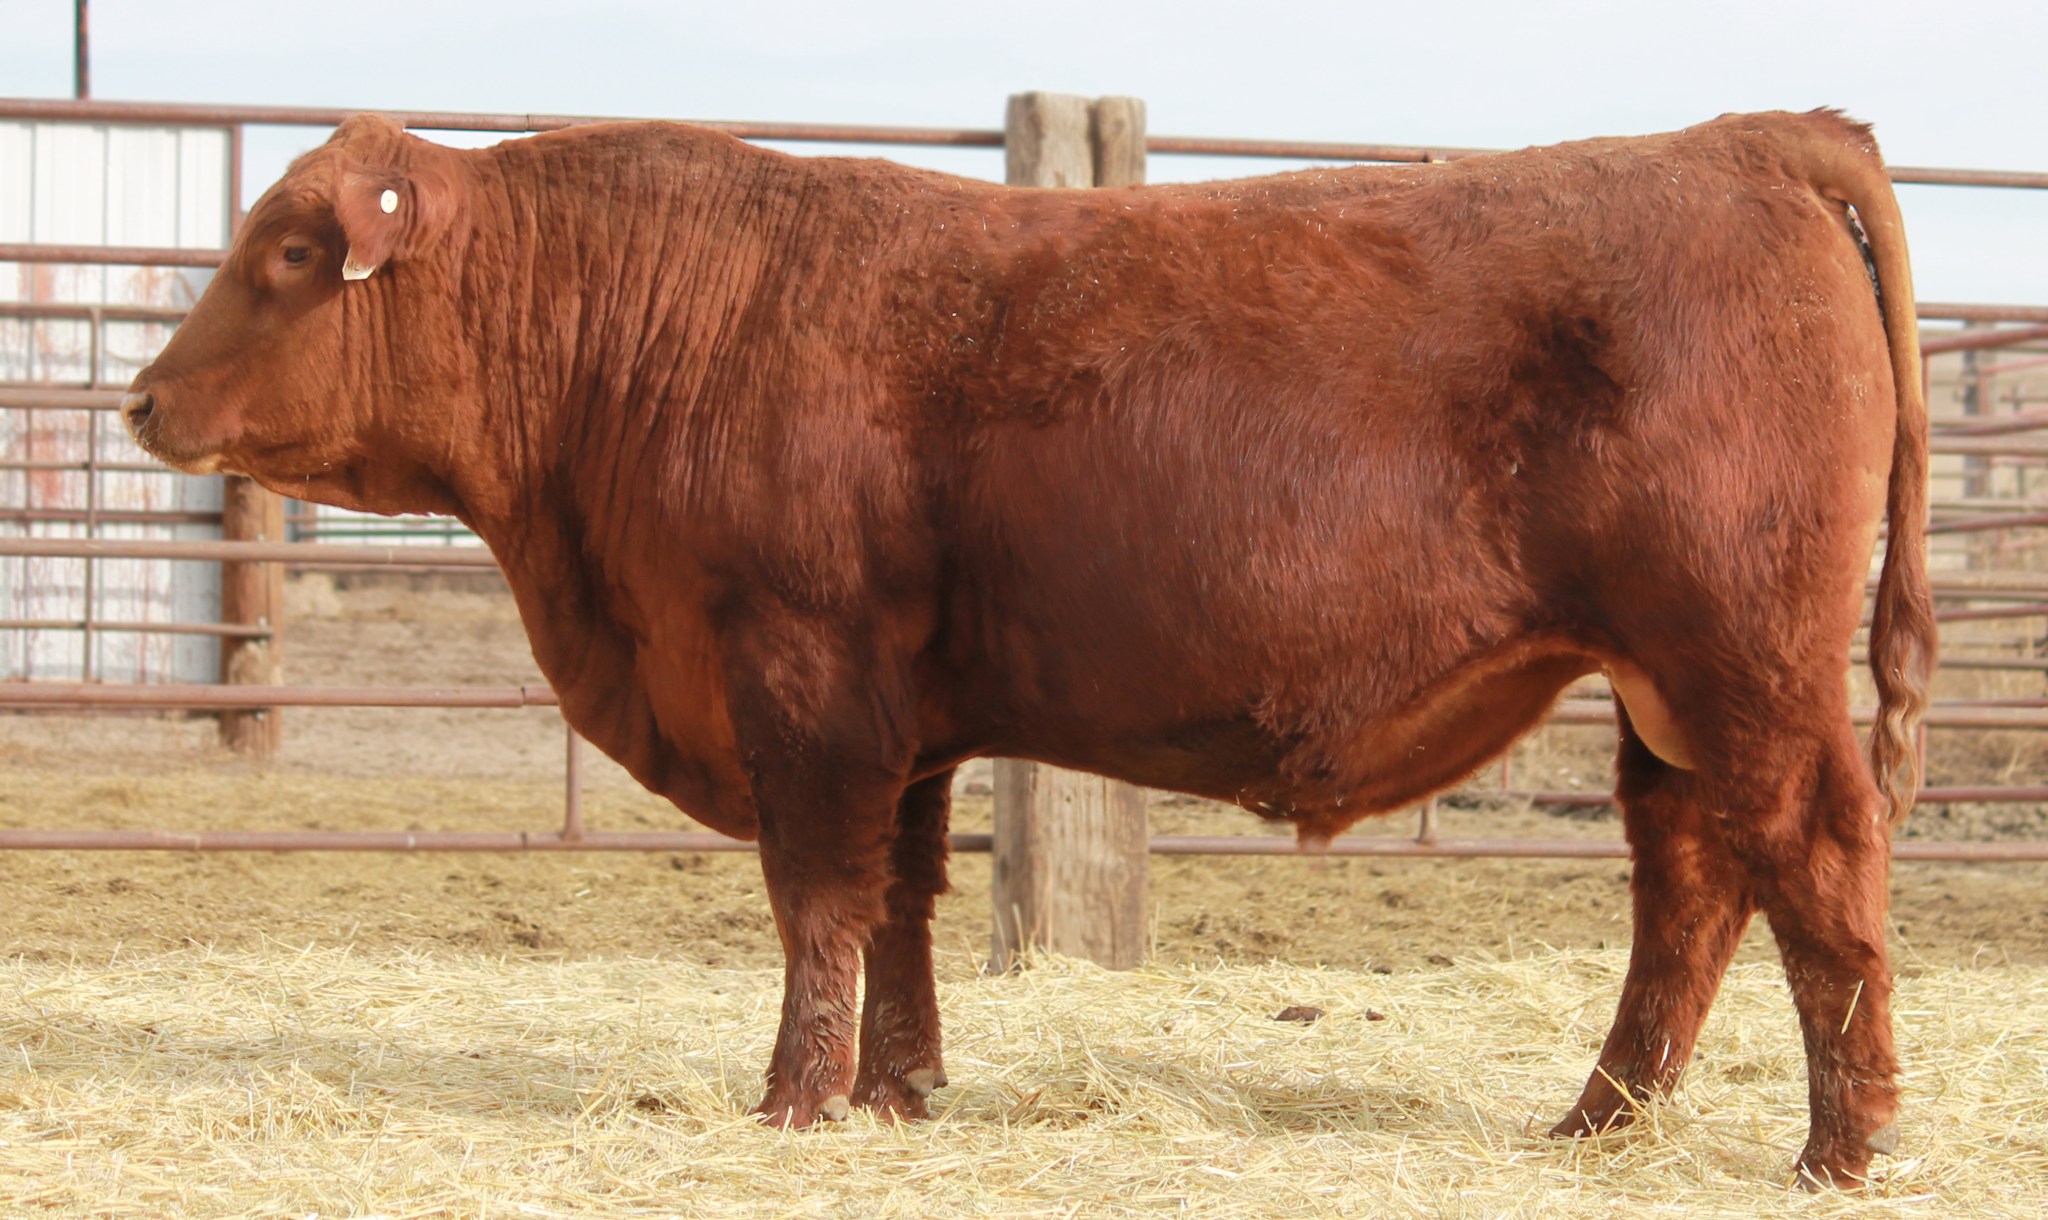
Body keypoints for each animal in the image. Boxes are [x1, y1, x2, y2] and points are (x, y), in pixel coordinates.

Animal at [123, 107, 1933, 1187]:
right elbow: (905, 895)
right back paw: (1600, 1122)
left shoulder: (803, 675)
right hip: (1664, 689)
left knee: (1814, 859)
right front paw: (897, 1089)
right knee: (1690, 879)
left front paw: (792, 1101)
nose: (139, 399)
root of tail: (1745, 141)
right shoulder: (907, 712)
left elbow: (815, 894)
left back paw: (1837, 1149)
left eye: (291, 250)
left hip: (1742, 658)